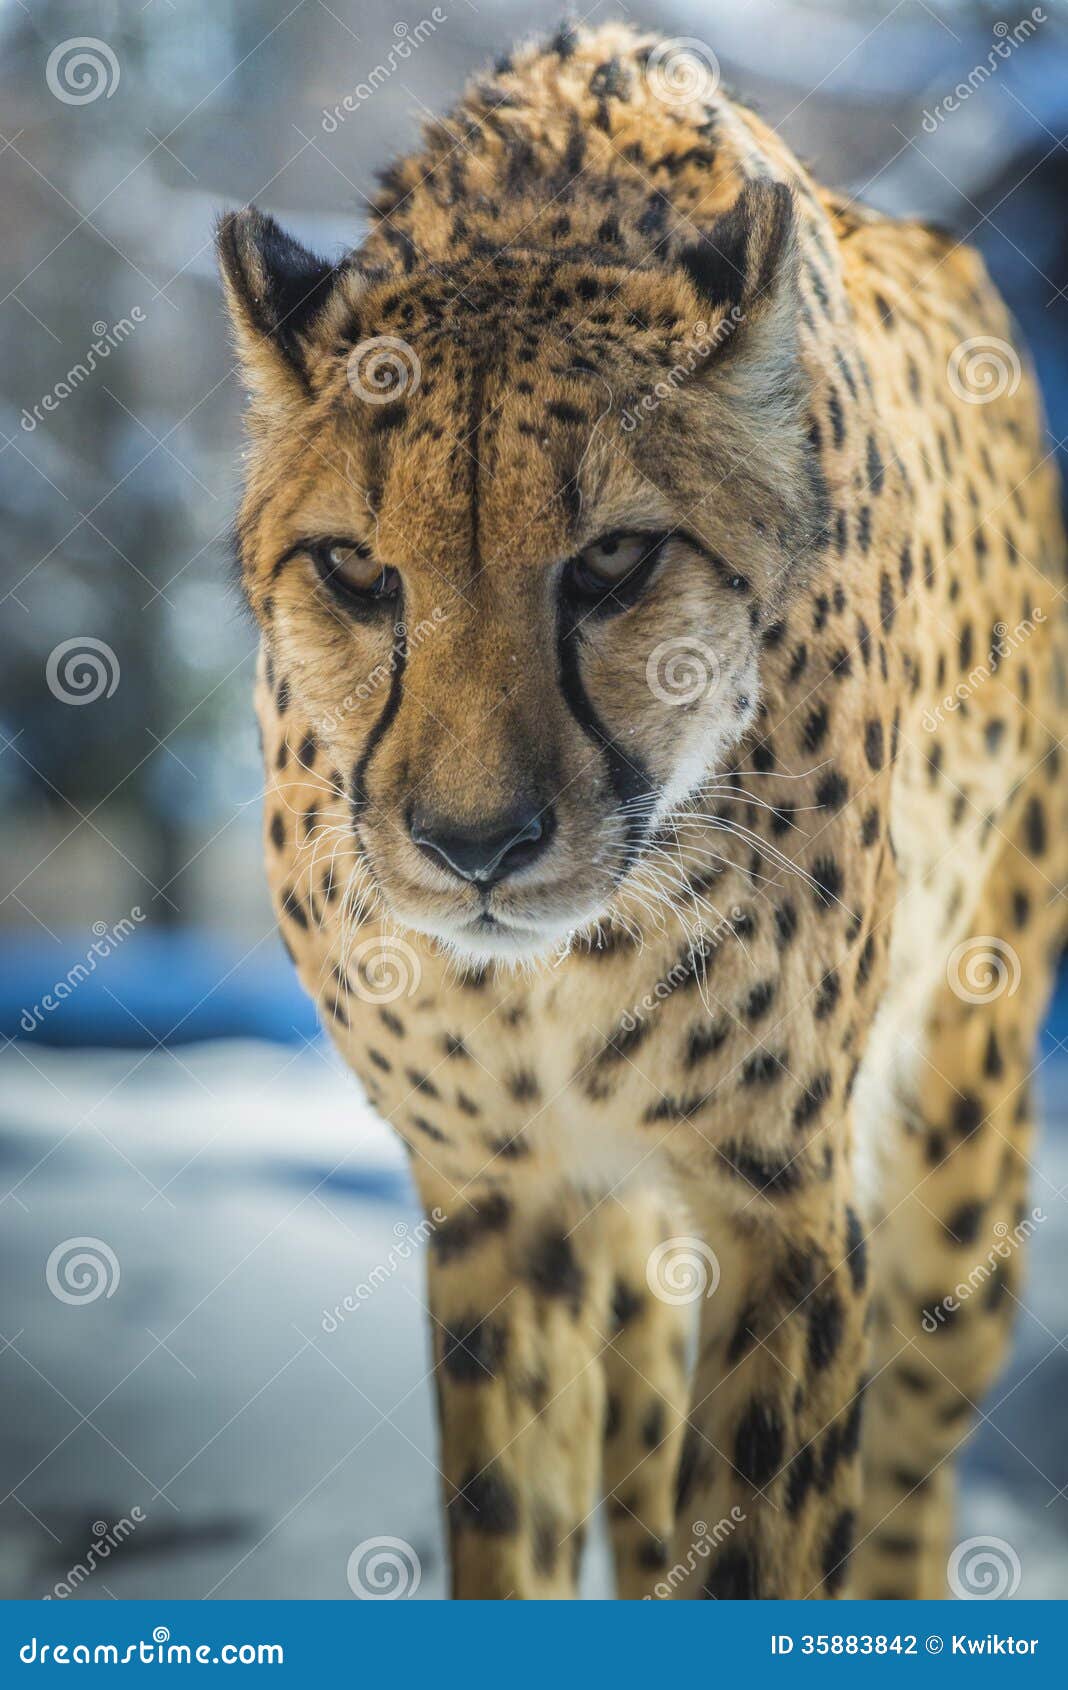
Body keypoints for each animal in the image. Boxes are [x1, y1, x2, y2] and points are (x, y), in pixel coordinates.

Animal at [216, 20, 1068, 1599]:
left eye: (615, 559)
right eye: (358, 569)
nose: (476, 847)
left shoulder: (782, 1204)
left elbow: (758, 1551)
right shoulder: (502, 1197)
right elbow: (520, 1532)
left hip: (958, 1157)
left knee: (910, 1478)